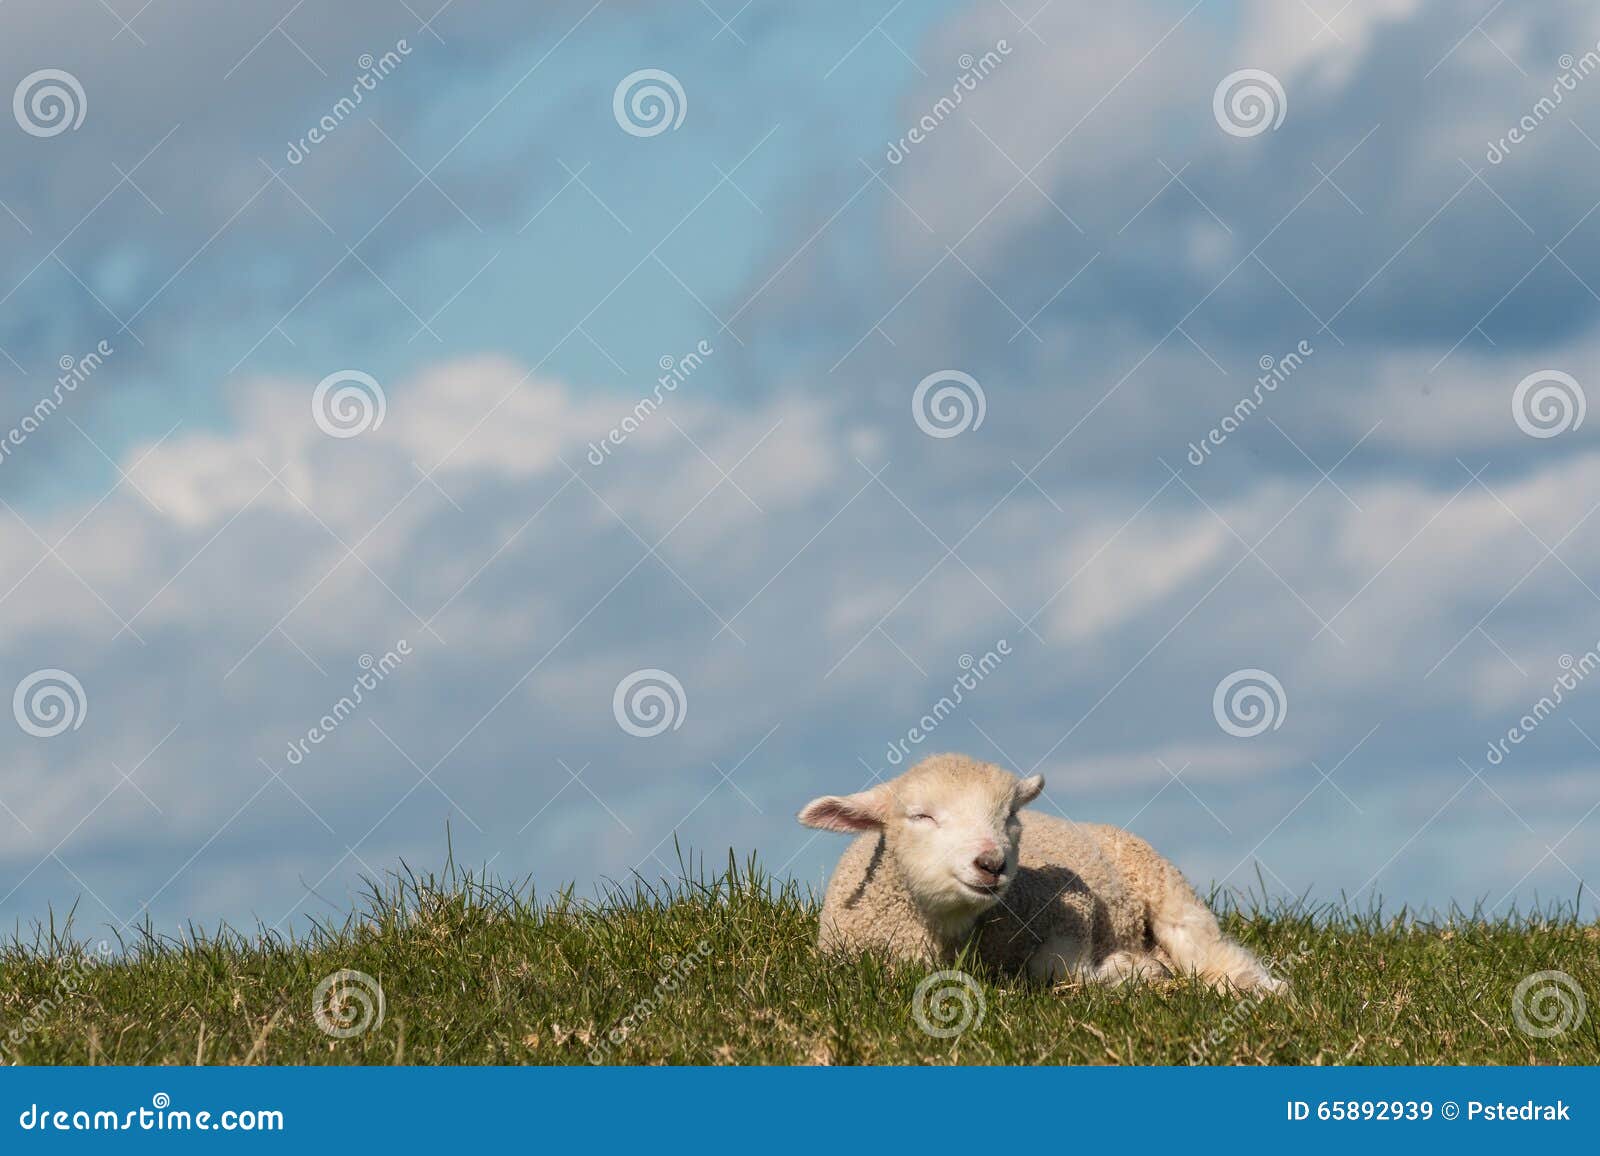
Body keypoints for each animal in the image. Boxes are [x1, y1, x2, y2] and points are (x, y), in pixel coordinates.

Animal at [798, 752, 1283, 991]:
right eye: (921, 816)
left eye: (1010, 814)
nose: (992, 864)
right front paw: (1132, 969)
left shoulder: (1074, 909)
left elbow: (1056, 970)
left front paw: (1126, 971)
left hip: (1164, 886)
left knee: (1209, 951)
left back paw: (1258, 987)